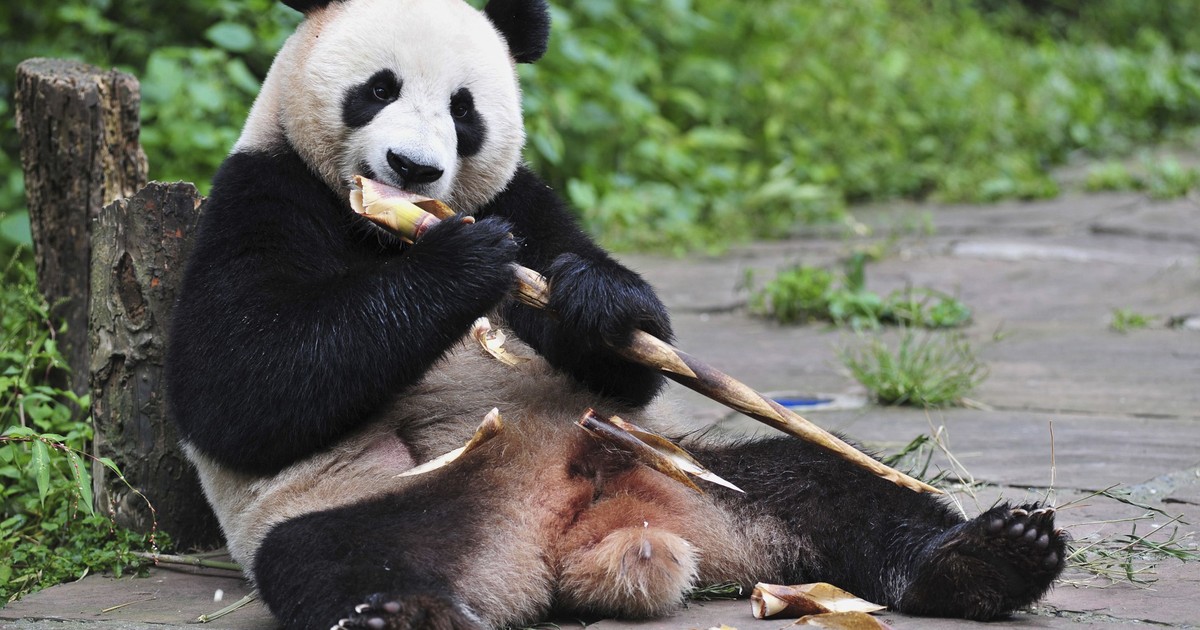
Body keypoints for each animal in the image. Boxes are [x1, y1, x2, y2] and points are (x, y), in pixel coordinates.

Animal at [164, 0, 1067, 628]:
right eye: (377, 89)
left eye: (463, 109)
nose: (413, 169)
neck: (384, 229)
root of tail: (567, 537)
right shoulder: (262, 191)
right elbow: (239, 387)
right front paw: (465, 263)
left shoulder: (526, 194)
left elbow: (620, 333)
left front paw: (591, 300)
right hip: (383, 500)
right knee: (343, 559)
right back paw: (403, 613)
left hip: (681, 468)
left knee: (829, 486)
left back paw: (990, 556)